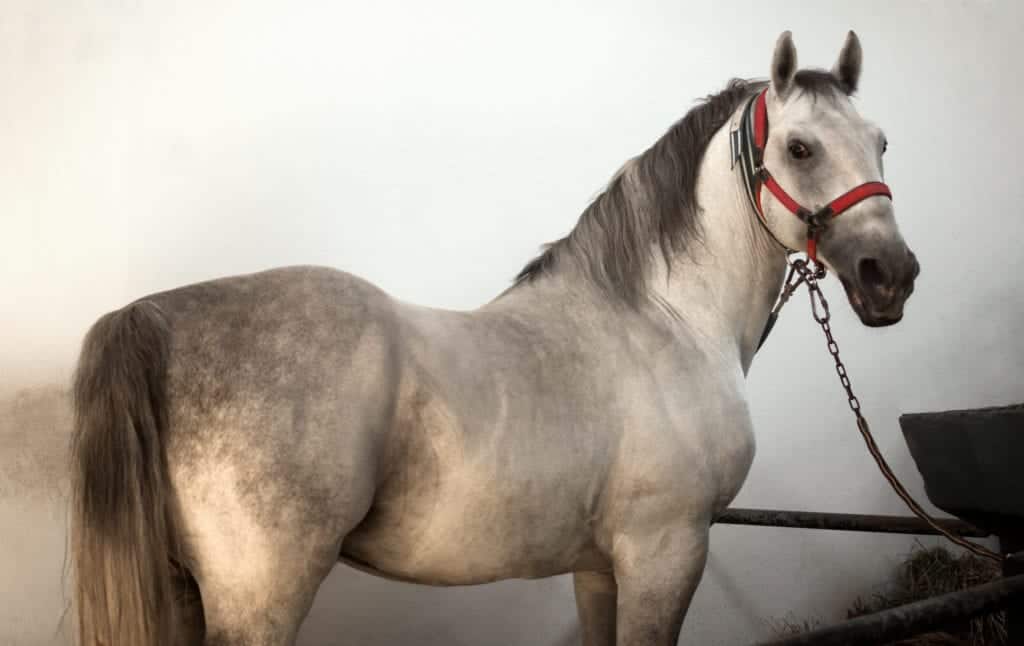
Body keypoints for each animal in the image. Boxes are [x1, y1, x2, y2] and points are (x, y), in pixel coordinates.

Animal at [70, 30, 919, 646]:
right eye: (800, 148)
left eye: (882, 142)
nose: (892, 276)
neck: (666, 324)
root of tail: (154, 317)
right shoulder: (666, 553)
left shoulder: (600, 567)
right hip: (261, 601)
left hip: (183, 593)